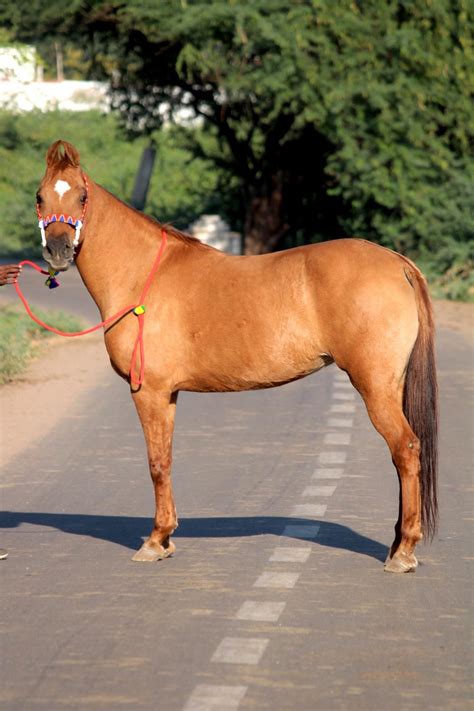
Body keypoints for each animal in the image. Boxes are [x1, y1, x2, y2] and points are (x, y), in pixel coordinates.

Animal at [34, 140, 438, 573]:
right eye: (40, 196)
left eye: (82, 196)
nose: (57, 250)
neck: (141, 276)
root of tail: (398, 263)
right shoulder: (168, 394)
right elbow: (167, 459)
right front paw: (166, 537)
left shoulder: (149, 392)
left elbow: (156, 463)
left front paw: (155, 542)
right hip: (391, 385)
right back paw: (396, 543)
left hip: (374, 386)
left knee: (406, 450)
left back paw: (403, 552)